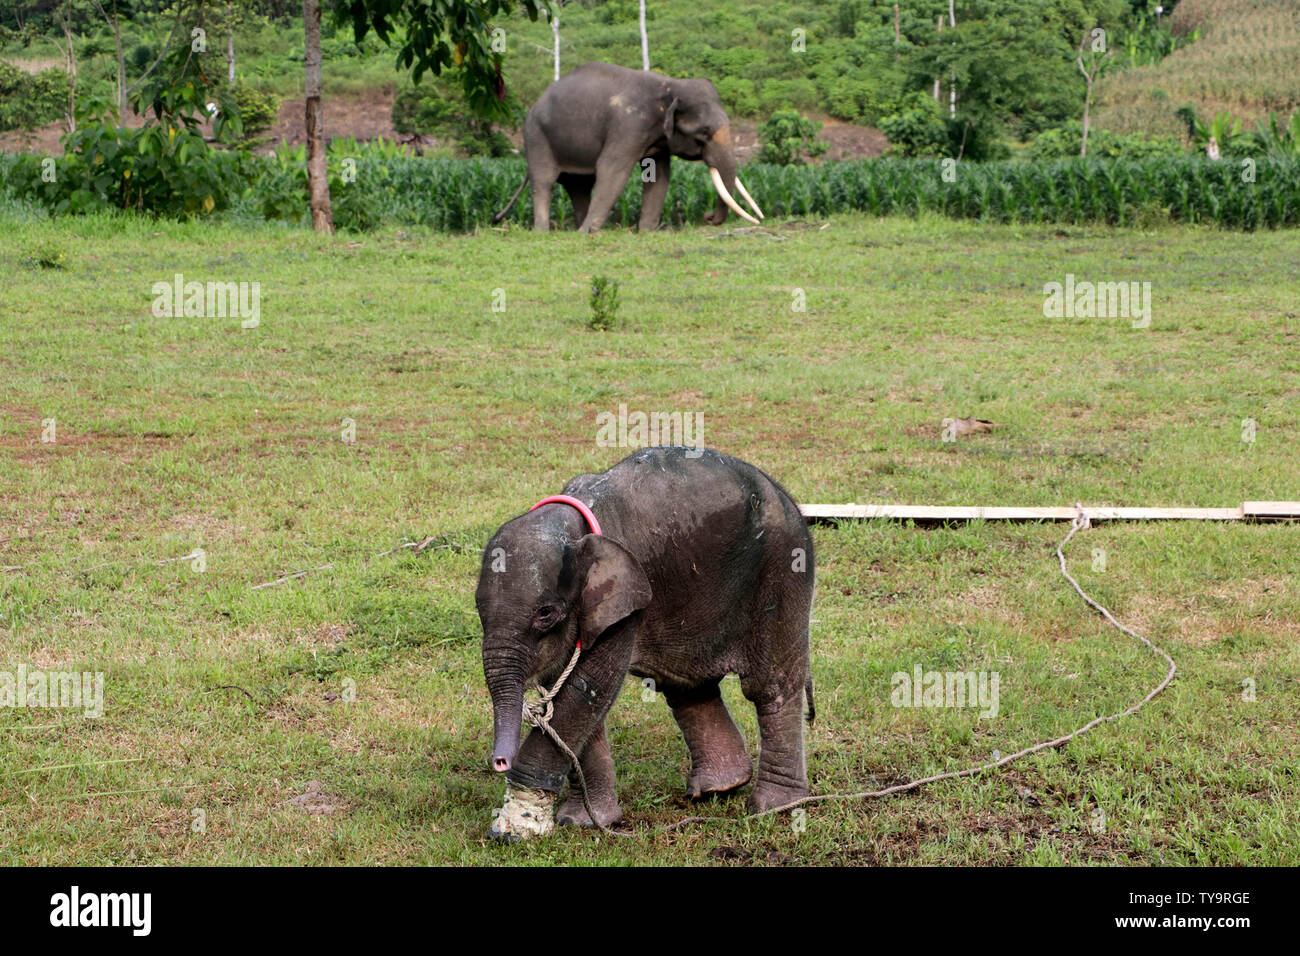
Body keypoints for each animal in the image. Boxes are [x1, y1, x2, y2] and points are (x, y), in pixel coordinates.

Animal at [476, 446, 815, 840]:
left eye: (545, 613)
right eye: (478, 608)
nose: (501, 762)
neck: (573, 523)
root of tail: (785, 495)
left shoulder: (627, 602)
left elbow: (588, 689)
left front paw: (516, 826)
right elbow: (571, 691)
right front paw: (581, 821)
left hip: (782, 565)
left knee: (769, 685)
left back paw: (775, 807)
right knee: (687, 685)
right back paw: (718, 788)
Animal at [492, 62, 765, 233]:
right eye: (705, 132)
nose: (707, 217)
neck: (670, 85)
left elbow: (659, 175)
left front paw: (646, 231)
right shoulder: (628, 125)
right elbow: (612, 169)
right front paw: (591, 233)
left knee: (579, 186)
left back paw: (578, 227)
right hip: (536, 136)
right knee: (545, 181)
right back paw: (547, 231)